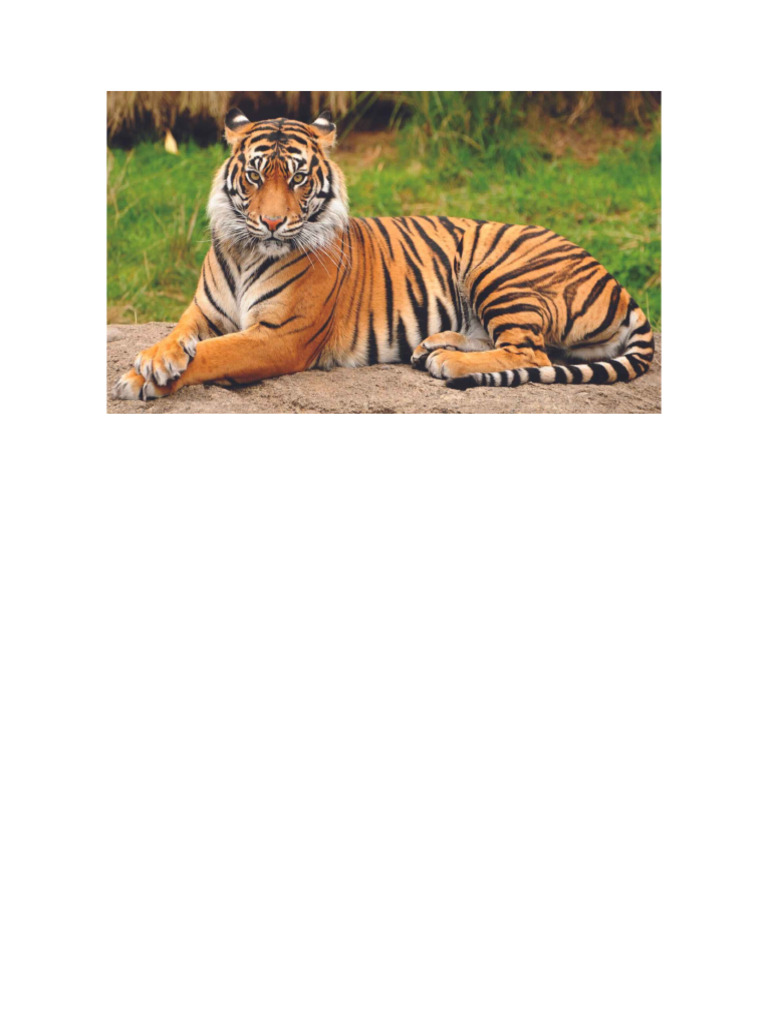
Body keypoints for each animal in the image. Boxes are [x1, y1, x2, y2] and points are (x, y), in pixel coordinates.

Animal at [112, 109, 655, 401]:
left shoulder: (280, 336)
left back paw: (447, 362)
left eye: (298, 178)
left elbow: (215, 353)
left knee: (530, 350)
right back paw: (434, 345)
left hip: (499, 271)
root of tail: (617, 282)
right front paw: (153, 360)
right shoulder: (203, 312)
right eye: (254, 176)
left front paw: (141, 379)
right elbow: (178, 335)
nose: (271, 223)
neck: (248, 251)